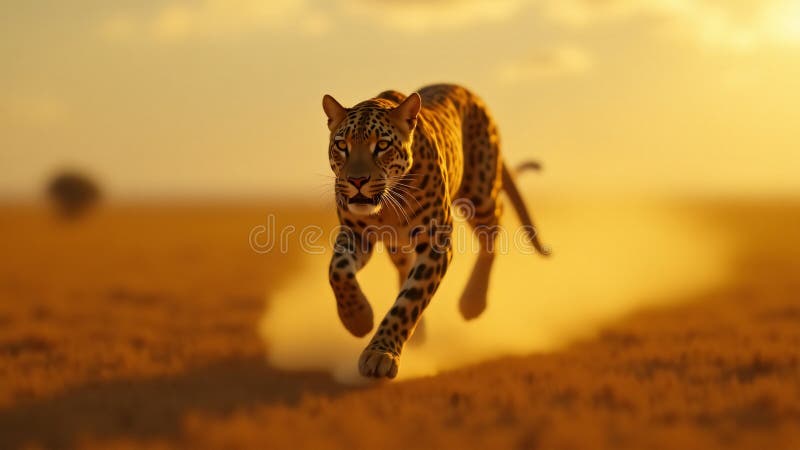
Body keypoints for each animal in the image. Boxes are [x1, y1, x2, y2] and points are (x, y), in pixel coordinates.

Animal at [323, 84, 549, 379]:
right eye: (342, 145)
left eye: (381, 146)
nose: (357, 180)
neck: (388, 206)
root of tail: (465, 90)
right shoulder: (355, 234)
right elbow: (337, 271)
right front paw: (357, 318)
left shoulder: (435, 243)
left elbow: (410, 301)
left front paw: (380, 354)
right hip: (398, 245)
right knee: (403, 267)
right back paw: (420, 332)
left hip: (481, 193)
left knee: (493, 230)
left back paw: (473, 301)